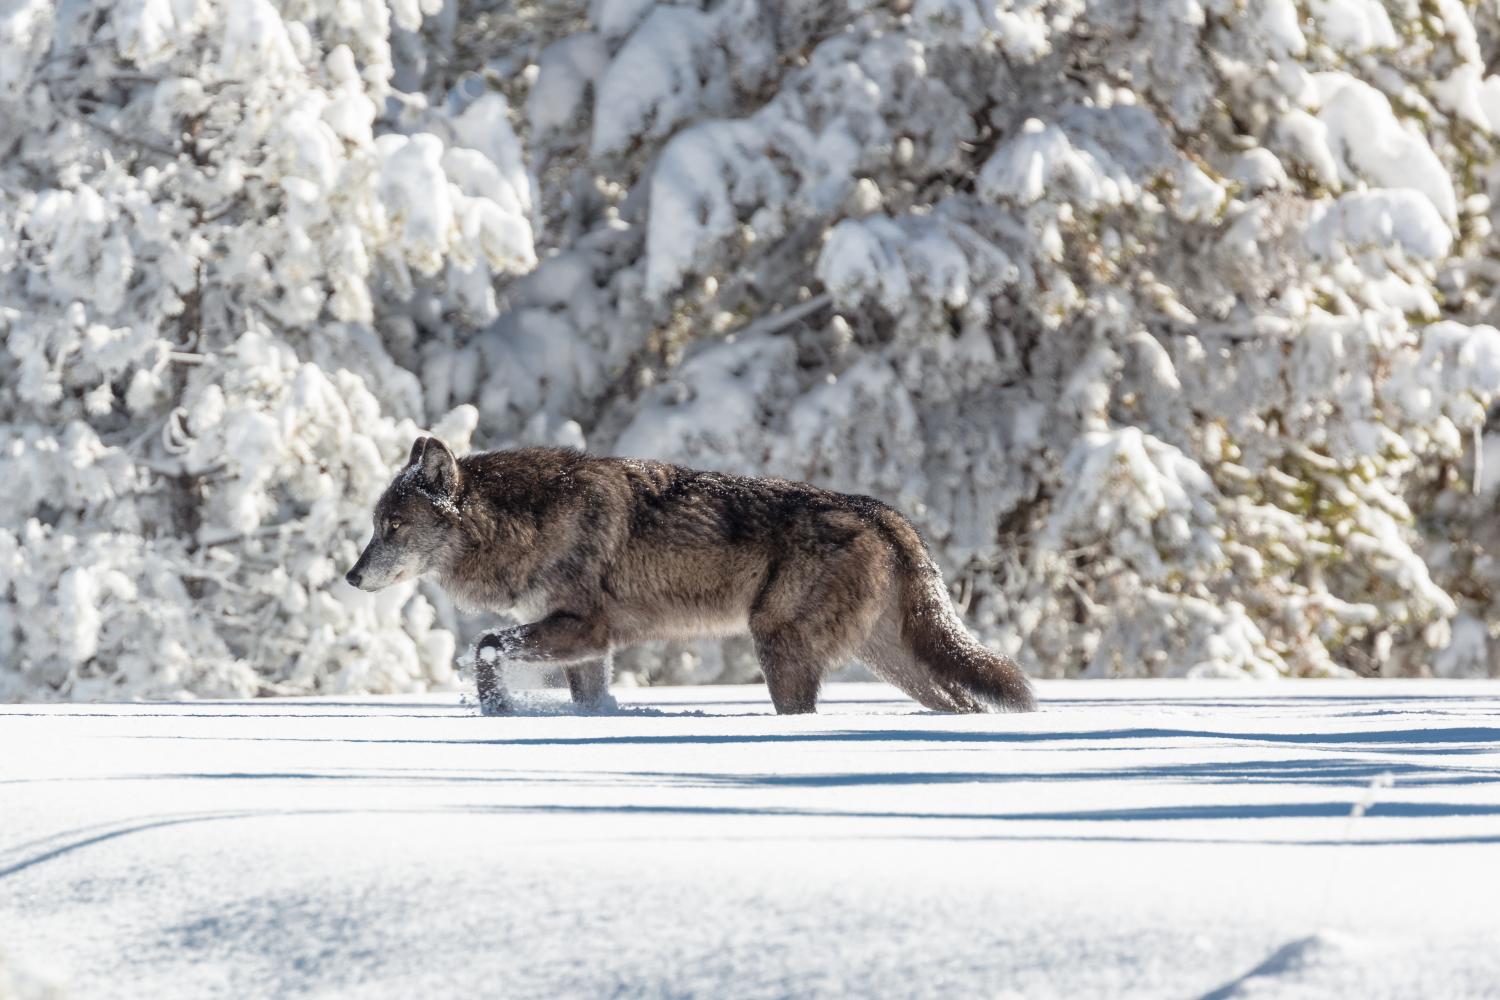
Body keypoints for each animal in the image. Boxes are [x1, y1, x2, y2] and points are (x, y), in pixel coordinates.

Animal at [346, 437, 1036, 716]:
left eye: (393, 527)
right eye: (375, 525)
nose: (351, 577)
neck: (525, 521)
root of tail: (882, 512)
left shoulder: (583, 628)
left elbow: (484, 647)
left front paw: (498, 711)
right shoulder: (590, 646)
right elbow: (585, 698)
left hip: (780, 647)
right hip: (891, 662)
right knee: (962, 702)